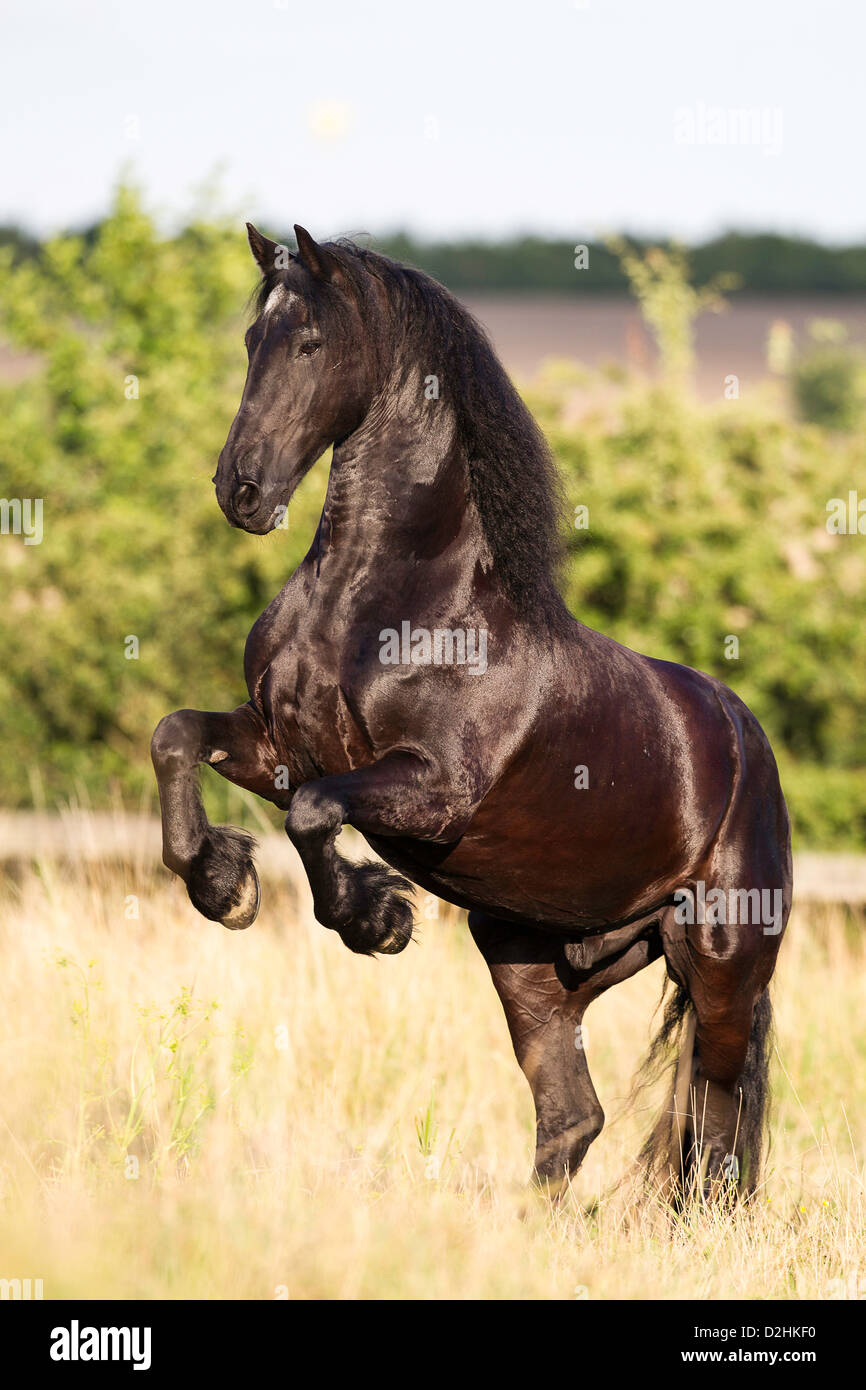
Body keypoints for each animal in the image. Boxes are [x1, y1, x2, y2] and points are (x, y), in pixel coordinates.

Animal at [151, 222, 792, 1199]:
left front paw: (376, 918)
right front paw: (223, 886)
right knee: (573, 1117)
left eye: (310, 343)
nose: (242, 491)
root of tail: (747, 746)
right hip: (535, 965)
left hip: (721, 967)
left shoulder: (432, 788)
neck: (388, 605)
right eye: (252, 340)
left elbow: (314, 814)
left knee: (715, 1135)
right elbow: (178, 736)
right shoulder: (281, 745)